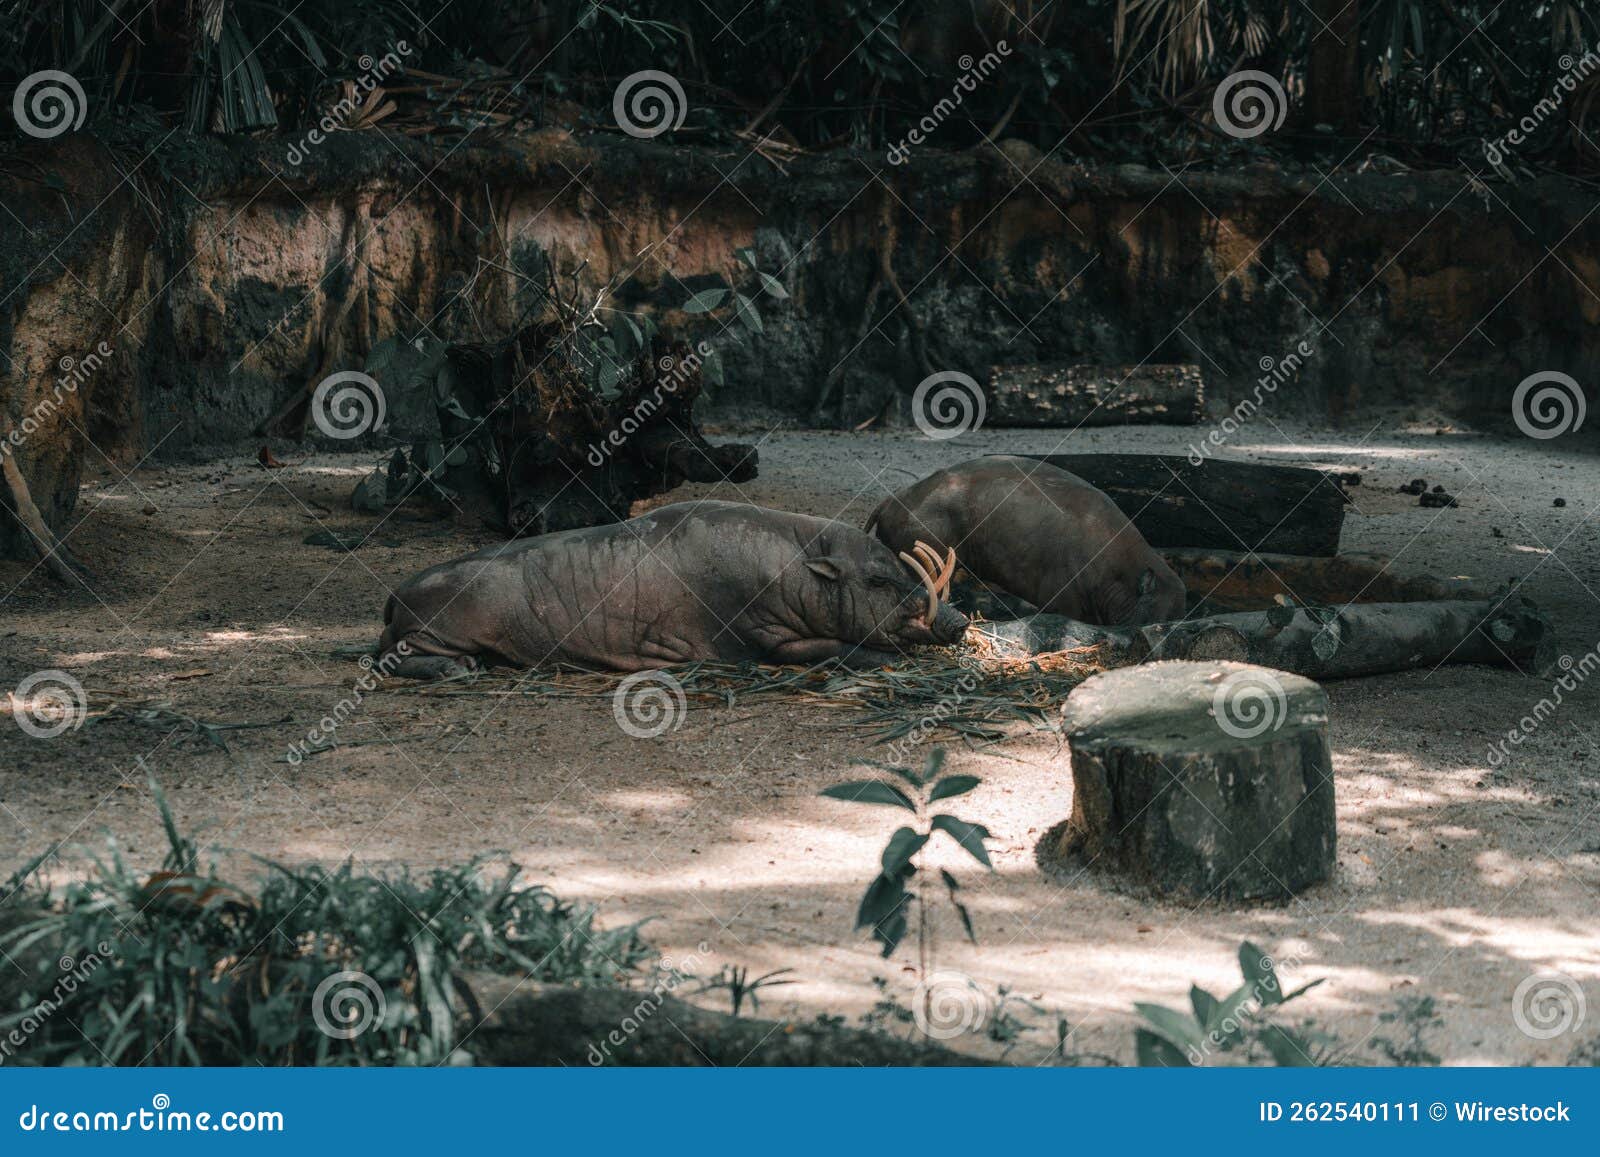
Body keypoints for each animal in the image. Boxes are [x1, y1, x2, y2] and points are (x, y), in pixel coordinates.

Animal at [378, 500, 970, 678]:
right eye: (878, 580)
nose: (958, 621)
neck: (804, 568)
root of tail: (393, 596)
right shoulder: (764, 635)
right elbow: (844, 649)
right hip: (435, 627)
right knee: (389, 658)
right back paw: (458, 669)